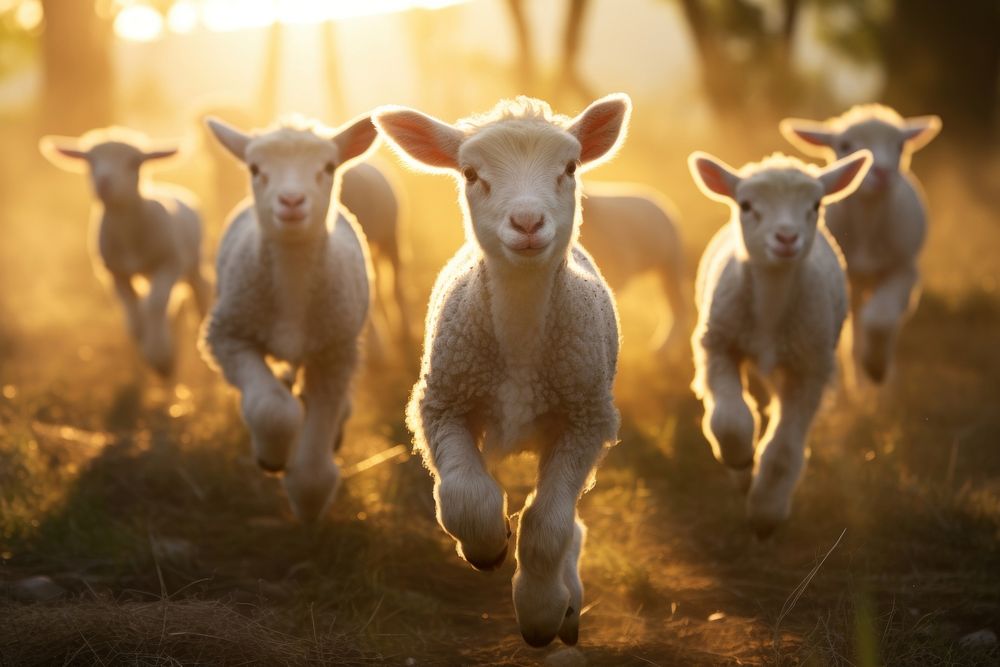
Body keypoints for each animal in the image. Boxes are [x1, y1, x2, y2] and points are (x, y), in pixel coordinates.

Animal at [39, 128, 209, 377]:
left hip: (193, 261)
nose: (104, 182)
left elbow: (155, 303)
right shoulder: (114, 272)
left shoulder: (170, 262)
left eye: (134, 162)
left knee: (199, 291)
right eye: (90, 161)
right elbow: (132, 310)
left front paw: (159, 354)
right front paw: (149, 346)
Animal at [200, 114, 378, 522]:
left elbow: (317, 435)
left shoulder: (335, 352)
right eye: (254, 168)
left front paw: (309, 501)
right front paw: (272, 456)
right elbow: (272, 408)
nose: (292, 201)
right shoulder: (228, 335)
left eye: (328, 167)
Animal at [373, 94, 630, 648]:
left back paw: (568, 609)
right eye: (471, 173)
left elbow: (548, 528)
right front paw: (488, 546)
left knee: (569, 524)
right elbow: (464, 498)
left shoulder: (586, 421)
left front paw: (540, 612)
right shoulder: (441, 403)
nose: (528, 223)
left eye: (570, 167)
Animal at [687, 148, 872, 538]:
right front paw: (740, 462)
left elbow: (784, 450)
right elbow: (730, 420)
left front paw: (766, 513)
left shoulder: (811, 368)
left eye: (816, 204)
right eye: (745, 205)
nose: (786, 238)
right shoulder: (717, 344)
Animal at [780, 105, 942, 386]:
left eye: (900, 145)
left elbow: (881, 318)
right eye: (845, 145)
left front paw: (876, 367)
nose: (882, 173)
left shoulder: (903, 269)